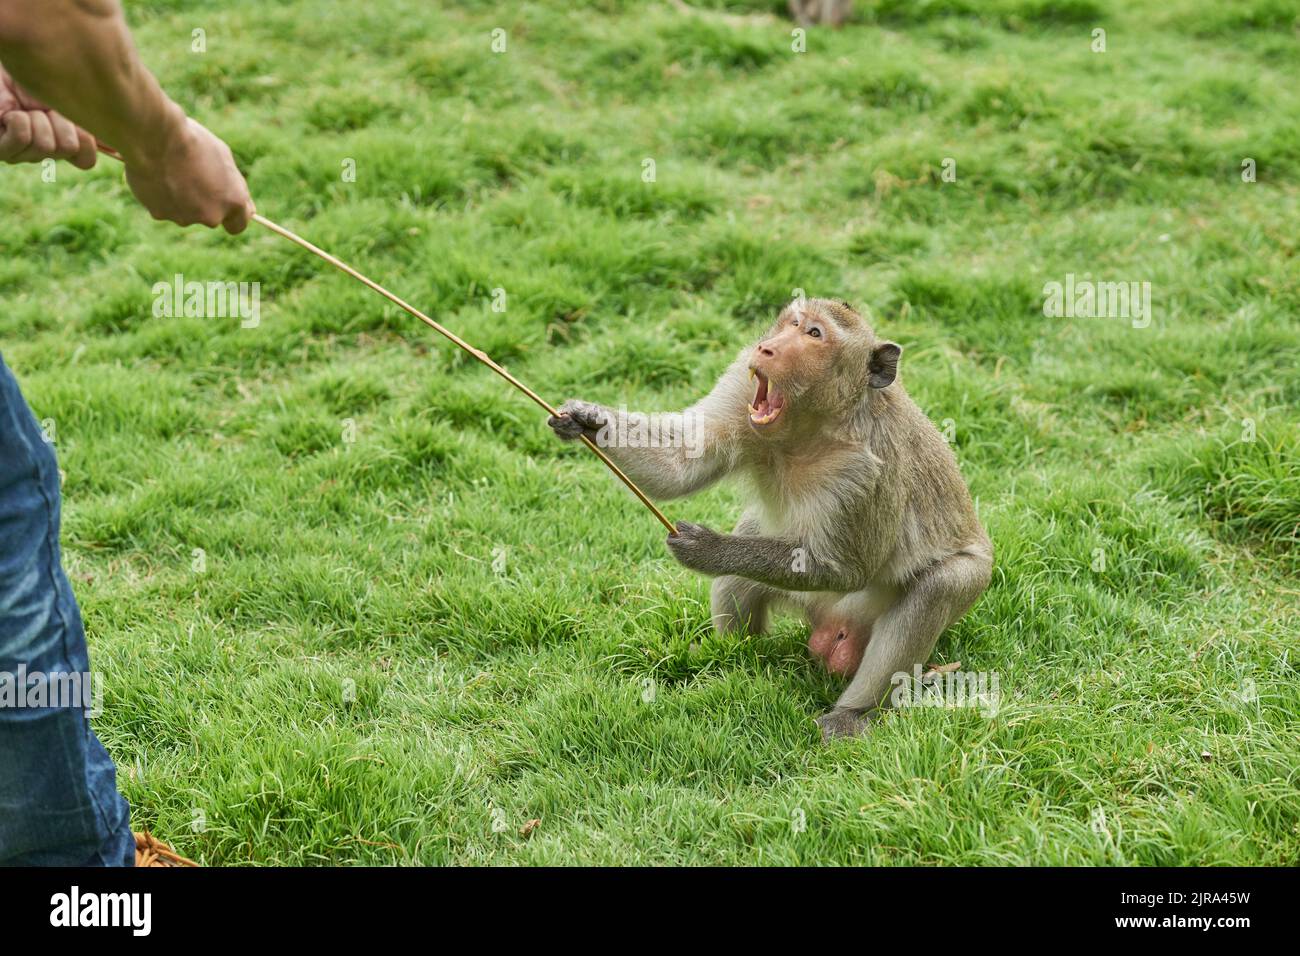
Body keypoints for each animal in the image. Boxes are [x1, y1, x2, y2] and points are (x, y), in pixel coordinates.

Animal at [548, 298, 992, 741]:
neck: (812, 423)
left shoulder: (869, 469)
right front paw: (589, 419)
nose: (766, 348)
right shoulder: (741, 393)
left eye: (814, 334)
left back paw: (854, 711)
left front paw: (710, 549)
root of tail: (833, 625)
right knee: (744, 563)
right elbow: (683, 460)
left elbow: (849, 568)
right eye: (792, 323)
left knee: (939, 585)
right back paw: (731, 657)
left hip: (956, 587)